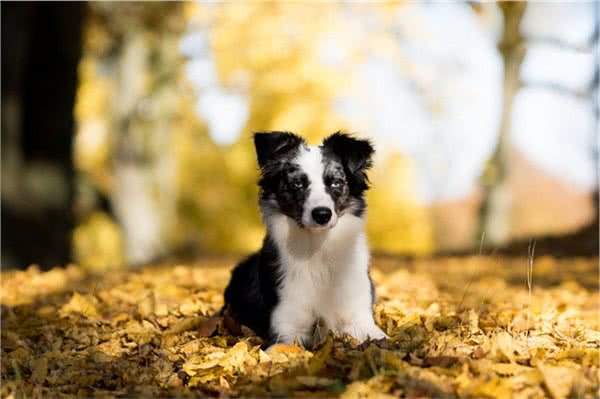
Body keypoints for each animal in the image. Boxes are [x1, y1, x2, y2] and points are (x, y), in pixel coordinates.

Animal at [223, 131, 386, 346]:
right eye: (297, 184)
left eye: (336, 182)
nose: (322, 214)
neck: (318, 247)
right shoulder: (286, 329)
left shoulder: (359, 318)